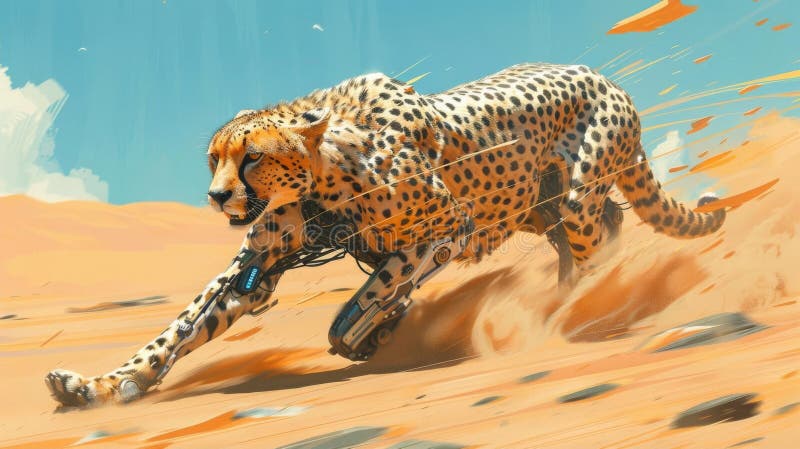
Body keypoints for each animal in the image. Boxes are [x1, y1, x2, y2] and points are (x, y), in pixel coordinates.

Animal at [45, 63, 725, 407]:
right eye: (213, 160)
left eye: (251, 158)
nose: (216, 196)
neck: (319, 176)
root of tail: (599, 75)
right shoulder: (253, 274)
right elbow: (174, 334)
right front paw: (104, 385)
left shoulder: (452, 225)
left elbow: (371, 293)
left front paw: (369, 331)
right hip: (540, 208)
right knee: (605, 231)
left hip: (576, 195)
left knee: (594, 247)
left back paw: (569, 315)